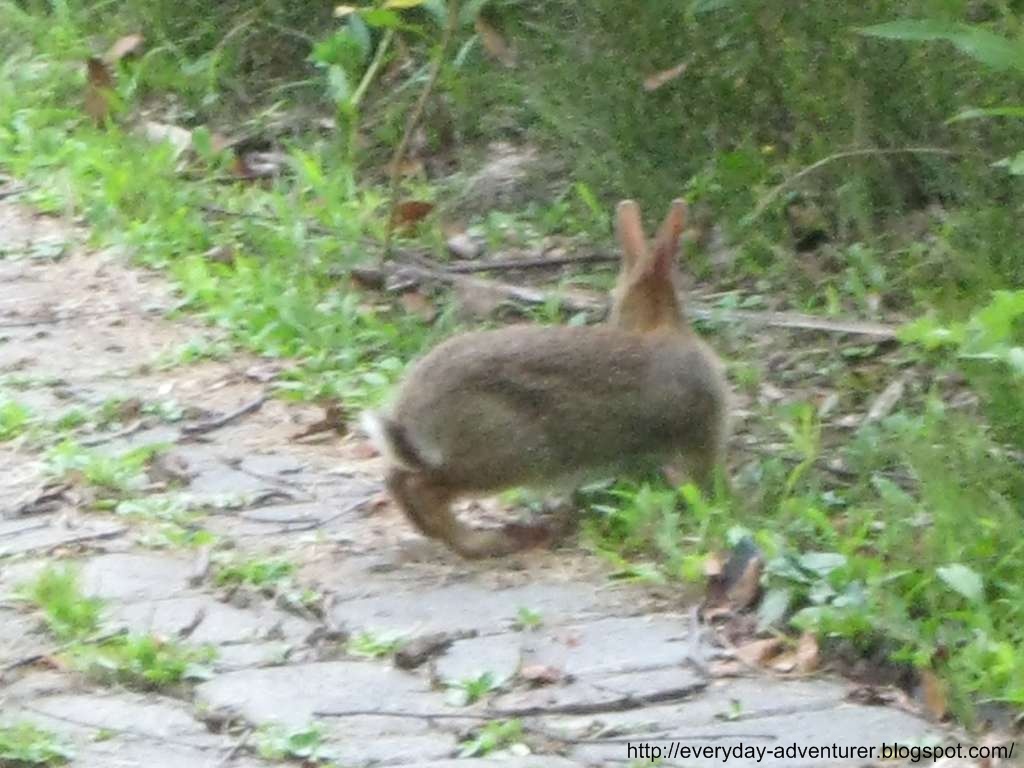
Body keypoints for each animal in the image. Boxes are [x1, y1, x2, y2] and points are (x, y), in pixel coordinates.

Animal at [361, 198, 729, 559]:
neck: (659, 328)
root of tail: (411, 416)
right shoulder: (698, 438)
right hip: (509, 454)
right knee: (425, 489)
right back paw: (486, 544)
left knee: (398, 480)